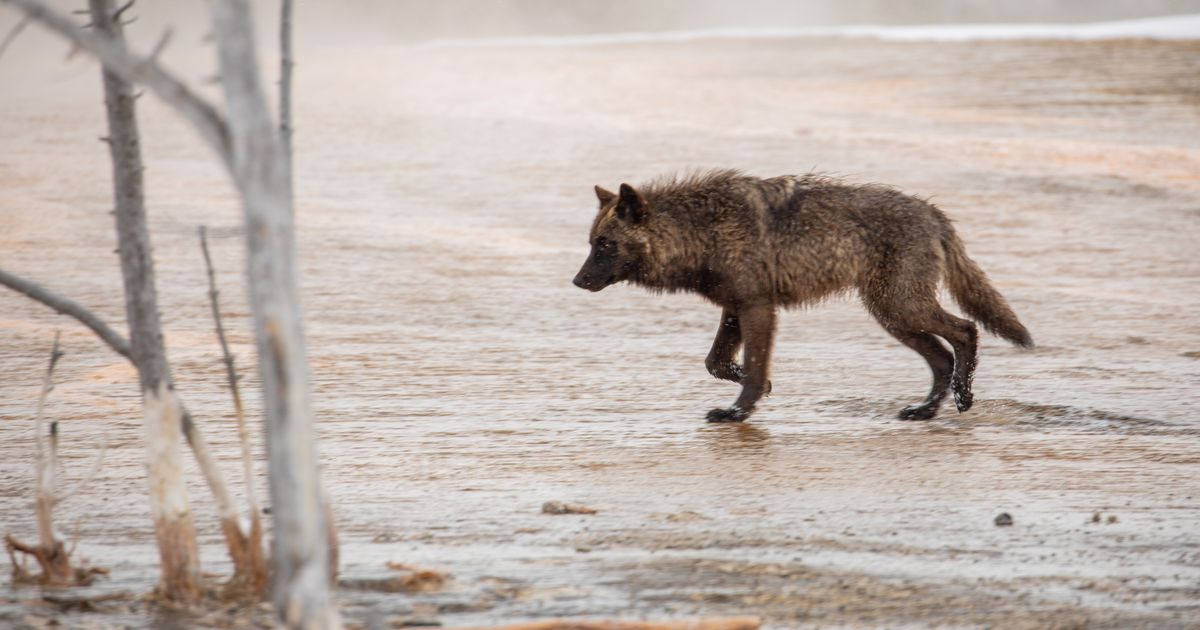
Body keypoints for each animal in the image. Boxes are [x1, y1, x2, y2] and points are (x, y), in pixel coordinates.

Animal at [572, 170, 1032, 422]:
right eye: (591, 243)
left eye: (605, 245)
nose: (577, 281)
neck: (700, 231)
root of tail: (934, 212)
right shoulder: (736, 309)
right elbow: (717, 362)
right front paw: (761, 389)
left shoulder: (759, 308)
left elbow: (750, 367)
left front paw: (738, 412)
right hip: (893, 316)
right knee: (943, 357)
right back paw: (925, 411)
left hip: (900, 309)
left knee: (966, 331)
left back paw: (963, 398)